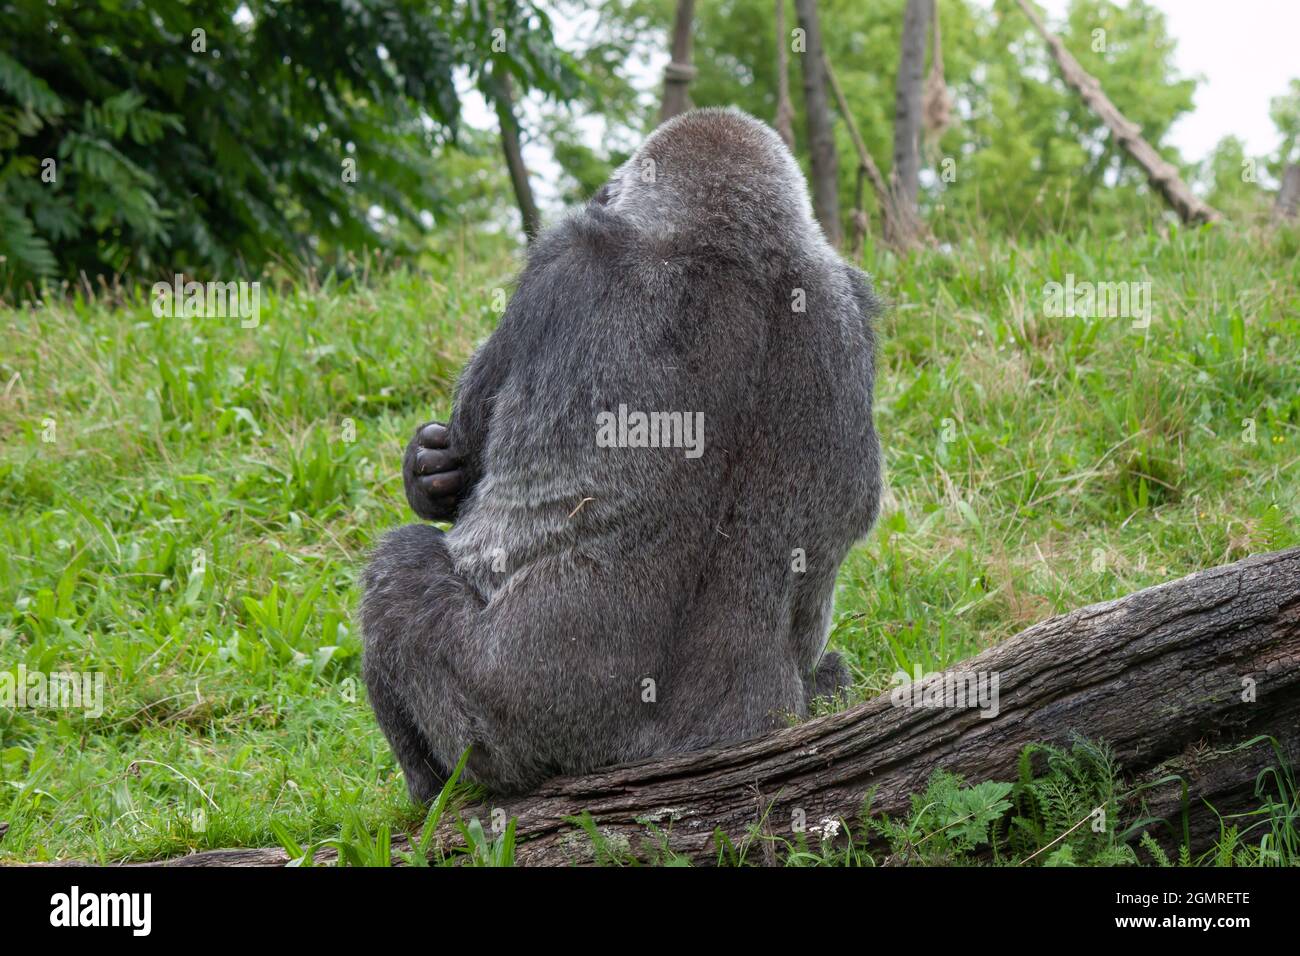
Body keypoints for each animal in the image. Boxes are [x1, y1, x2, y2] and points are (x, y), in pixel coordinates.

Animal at [361, 107, 882, 801]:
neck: (735, 245)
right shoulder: (852, 299)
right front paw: (431, 467)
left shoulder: (563, 261)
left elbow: (473, 462)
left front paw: (435, 473)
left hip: (514, 738)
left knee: (397, 570)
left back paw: (431, 794)